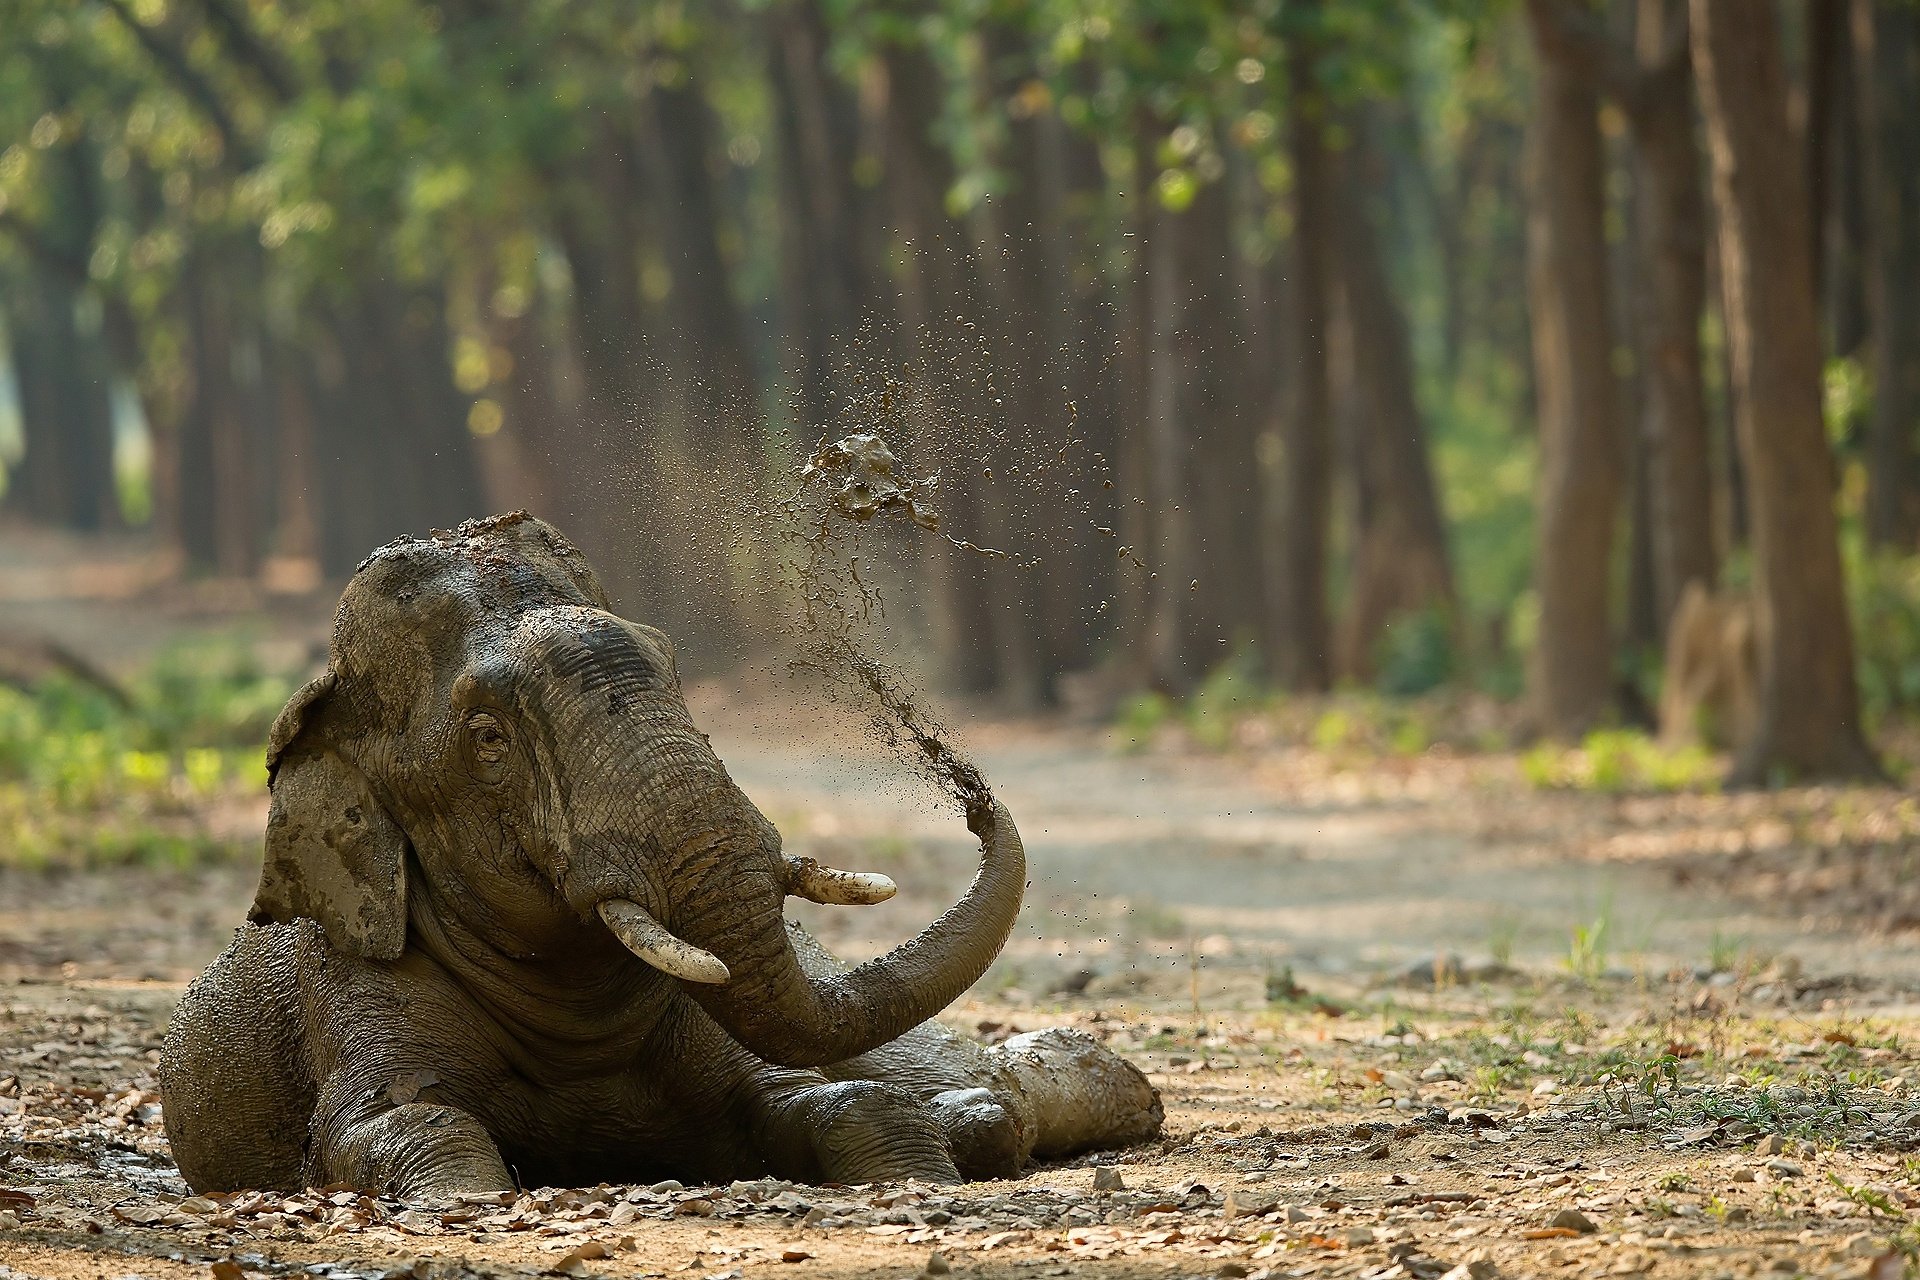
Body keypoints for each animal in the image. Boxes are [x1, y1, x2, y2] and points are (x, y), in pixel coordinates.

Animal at [159, 513, 1160, 1200]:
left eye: (674, 665)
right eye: (487, 737)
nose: (955, 769)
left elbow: (826, 1096)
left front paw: (917, 1165)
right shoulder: (353, 991)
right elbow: (390, 1127)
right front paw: (471, 1197)